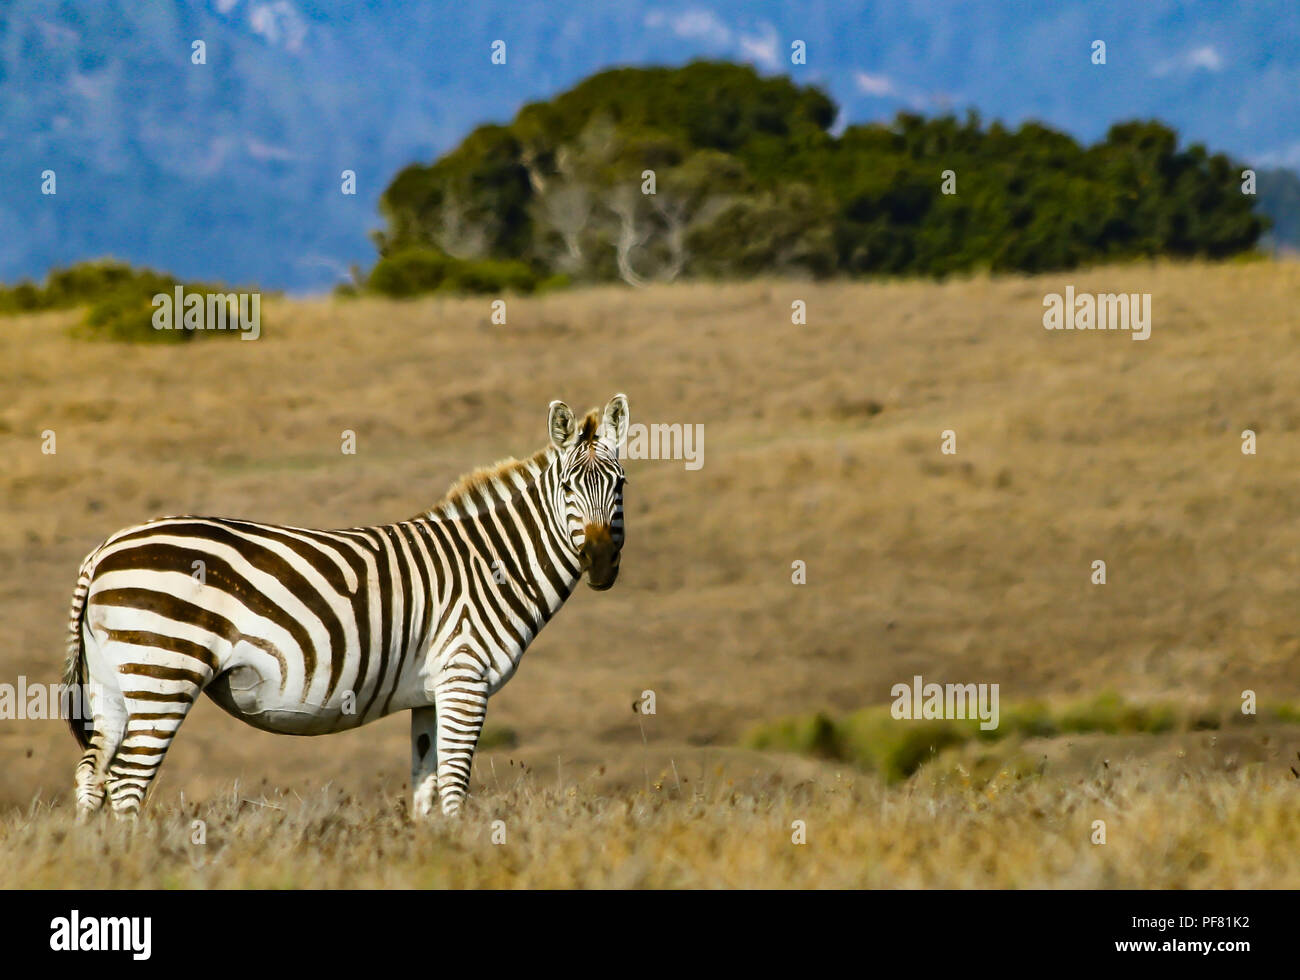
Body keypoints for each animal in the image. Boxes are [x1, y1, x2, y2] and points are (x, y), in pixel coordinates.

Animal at [62, 394, 628, 819]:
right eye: (568, 486)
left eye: (620, 485)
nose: (601, 562)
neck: (493, 561)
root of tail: (103, 550)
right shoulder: (465, 679)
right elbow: (454, 789)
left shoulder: (429, 694)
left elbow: (426, 790)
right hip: (164, 669)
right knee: (127, 783)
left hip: (115, 680)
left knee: (92, 775)